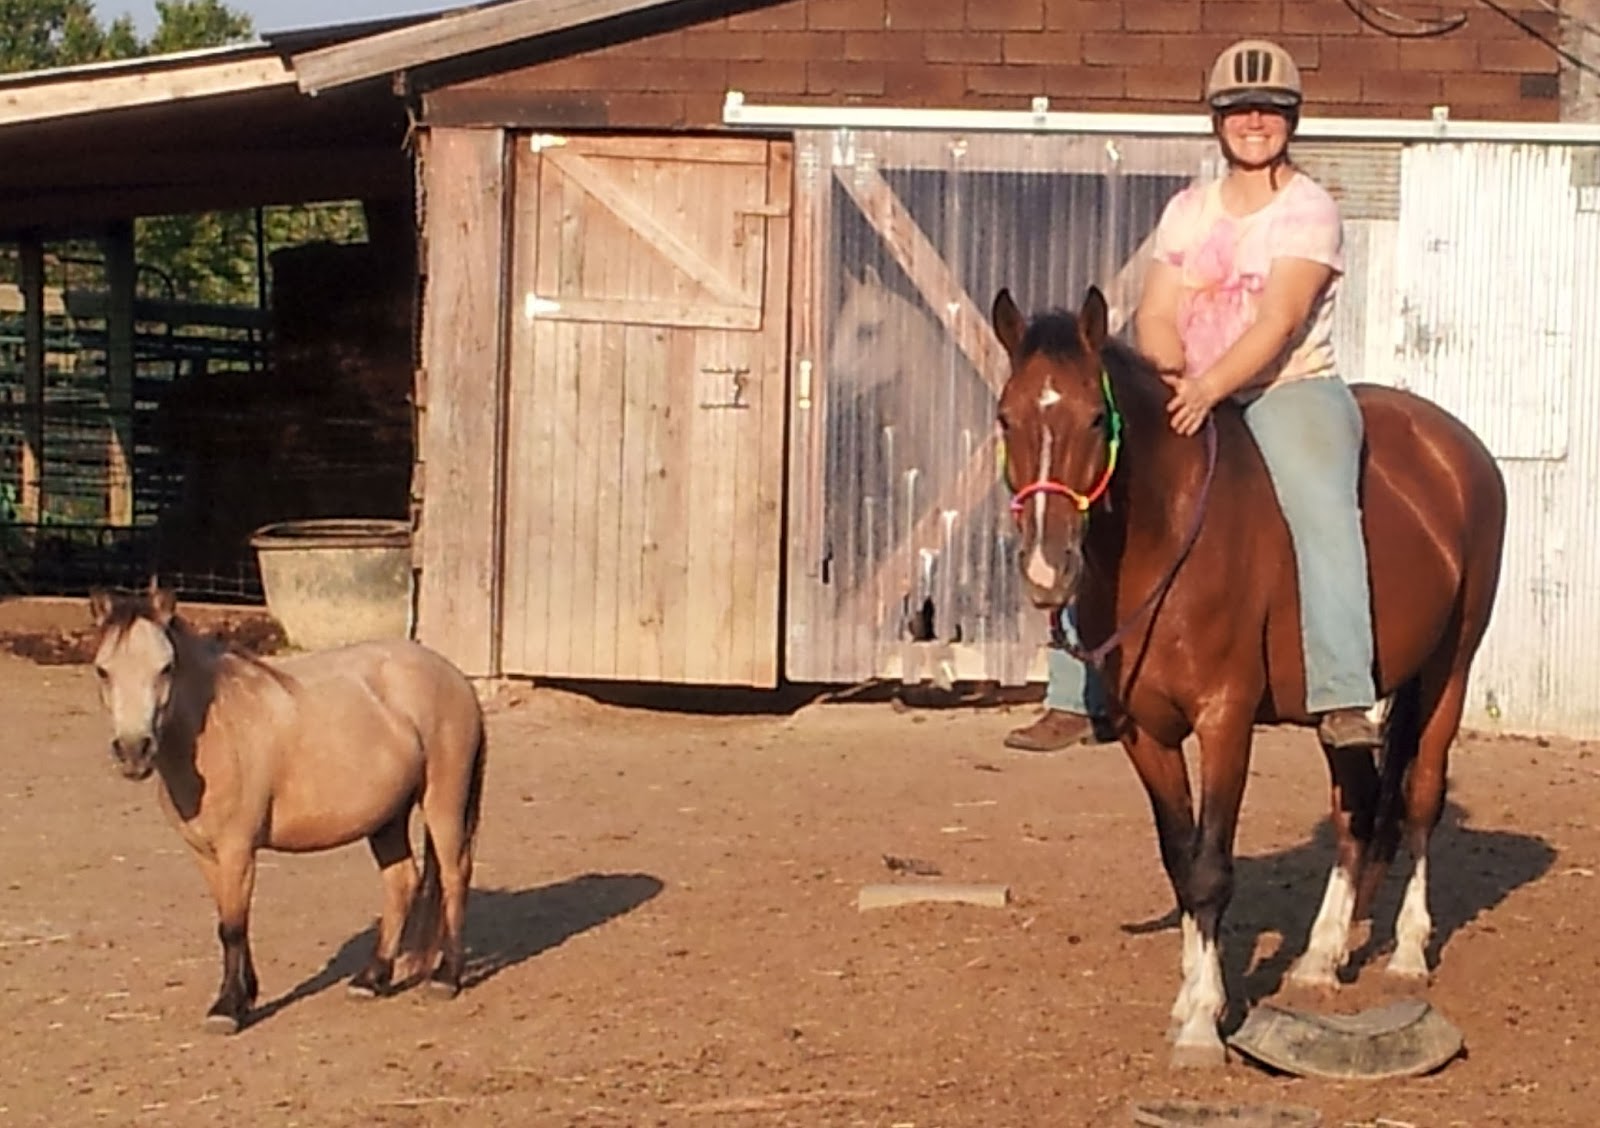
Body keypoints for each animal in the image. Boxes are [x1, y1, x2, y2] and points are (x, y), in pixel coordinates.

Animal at [86, 583, 487, 1033]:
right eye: (103, 670)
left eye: (166, 668)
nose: (133, 751)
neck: (217, 732)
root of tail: (454, 676)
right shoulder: (205, 854)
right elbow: (229, 923)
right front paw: (244, 996)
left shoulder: (237, 850)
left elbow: (232, 927)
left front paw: (227, 1008)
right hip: (388, 817)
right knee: (402, 882)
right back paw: (371, 980)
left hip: (443, 801)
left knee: (454, 876)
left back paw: (446, 978)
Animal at [990, 285, 1507, 1069]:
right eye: (1006, 417)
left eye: (1092, 418)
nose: (1048, 569)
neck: (1172, 536)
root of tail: (1458, 448)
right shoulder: (1147, 734)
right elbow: (1180, 861)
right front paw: (1187, 999)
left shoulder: (1224, 720)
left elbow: (1211, 866)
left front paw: (1203, 1024)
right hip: (1340, 709)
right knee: (1357, 808)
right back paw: (1320, 959)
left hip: (1451, 666)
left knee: (1420, 798)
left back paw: (1409, 953)